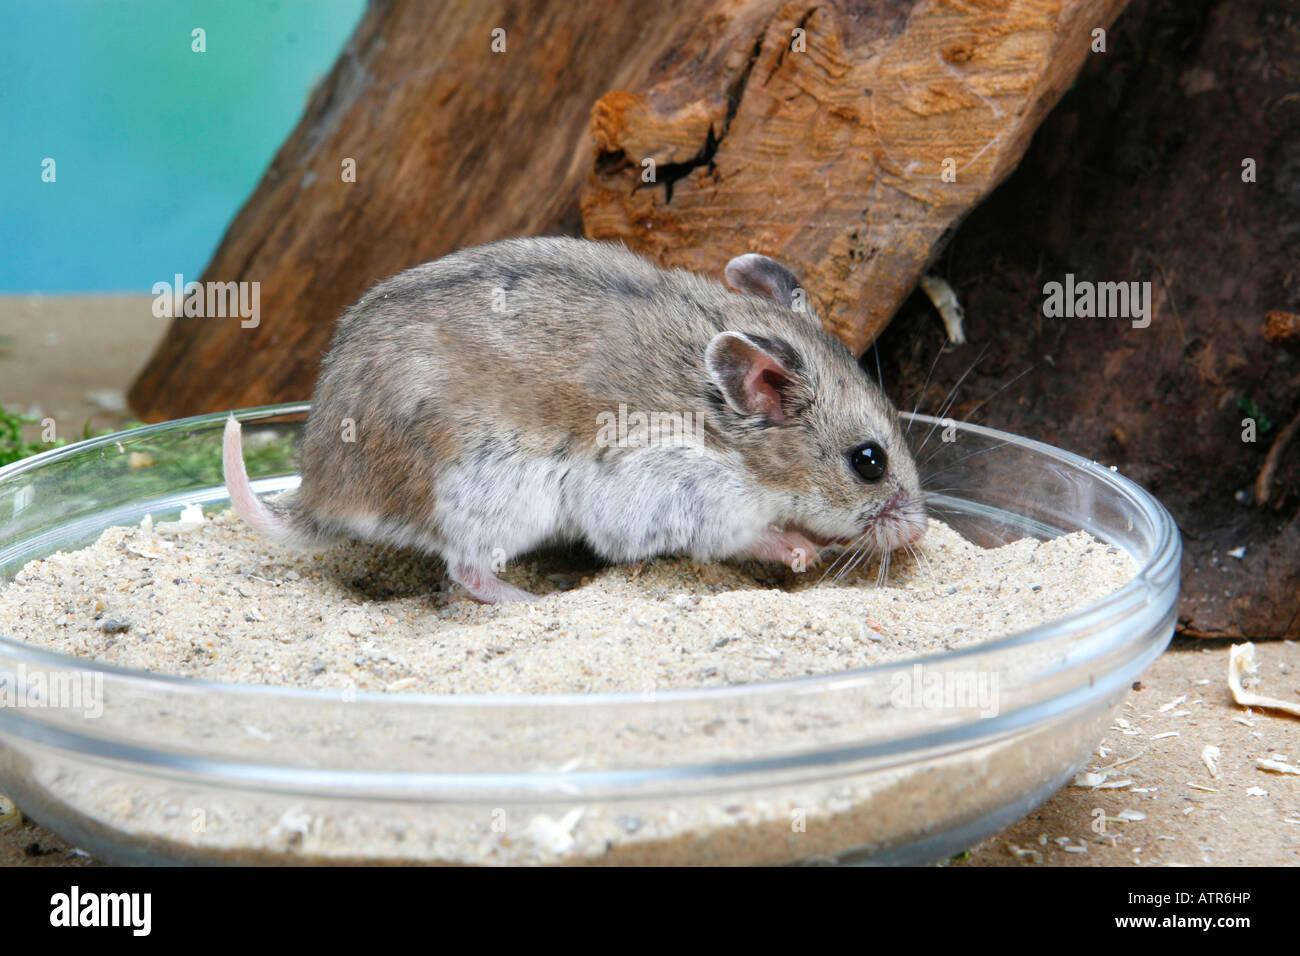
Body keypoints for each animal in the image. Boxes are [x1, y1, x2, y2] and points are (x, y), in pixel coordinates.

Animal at [222, 237, 927, 602]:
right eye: (869, 462)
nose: (920, 533)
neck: (725, 431)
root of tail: (317, 498)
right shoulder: (681, 494)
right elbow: (746, 536)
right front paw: (803, 549)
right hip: (490, 500)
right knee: (467, 574)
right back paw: (535, 600)